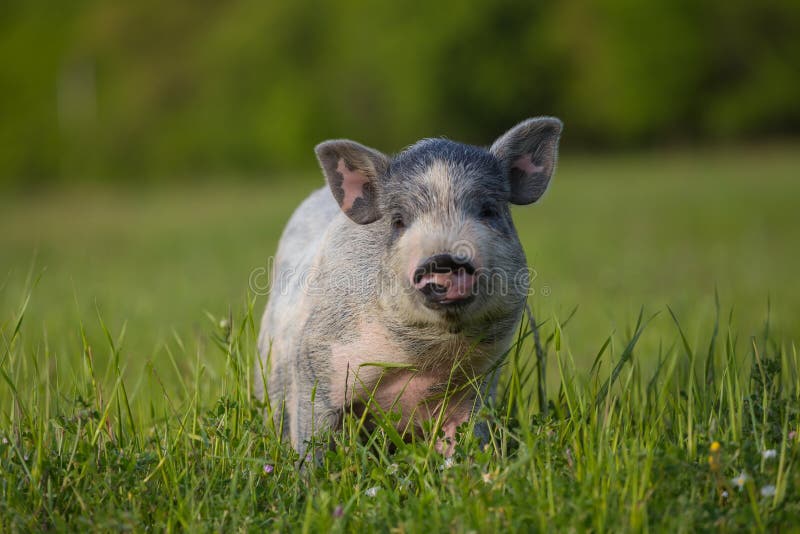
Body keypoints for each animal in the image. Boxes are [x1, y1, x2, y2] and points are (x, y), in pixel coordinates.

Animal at [256, 117, 562, 457]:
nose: (444, 258)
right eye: (399, 221)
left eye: (489, 211)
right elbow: (312, 437)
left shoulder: (477, 388)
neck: (424, 362)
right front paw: (309, 472)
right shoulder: (315, 362)